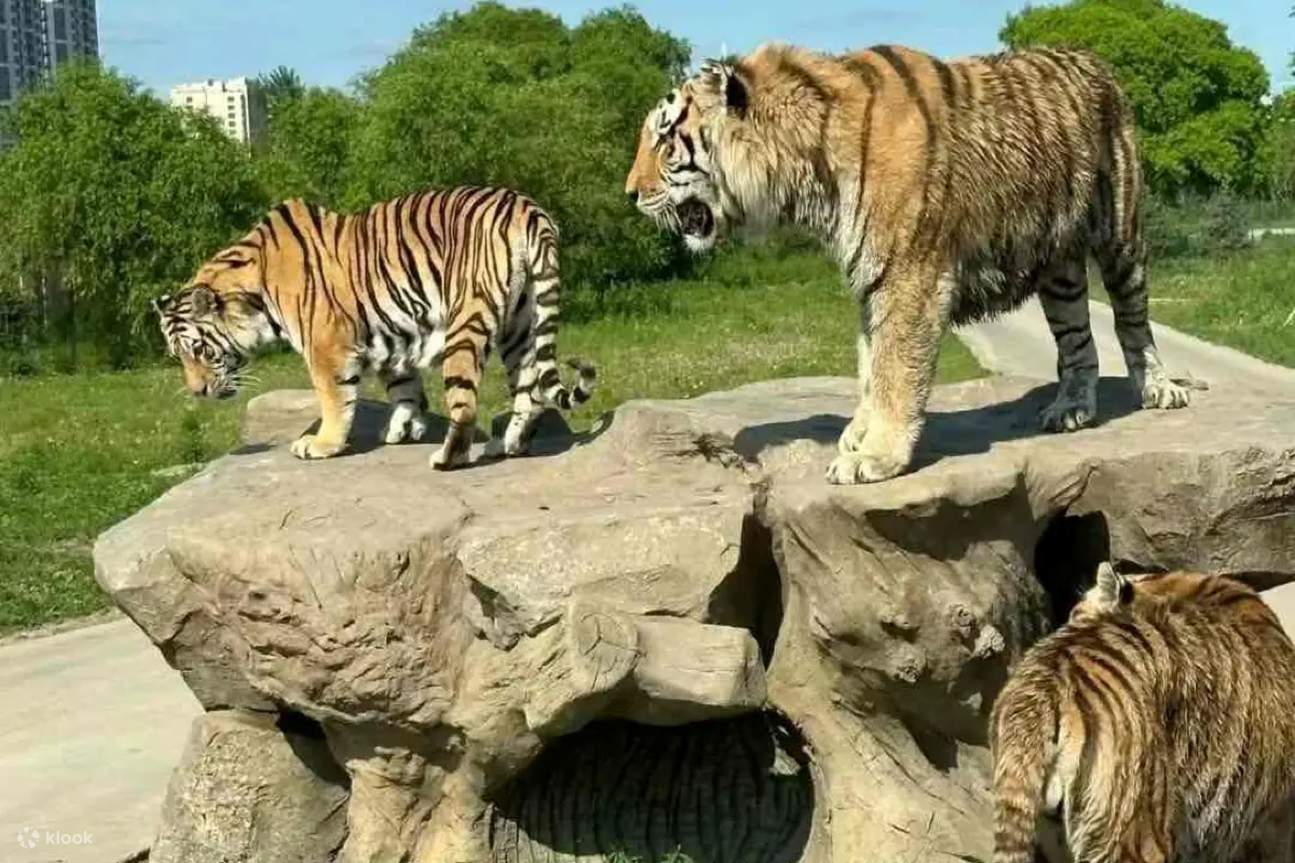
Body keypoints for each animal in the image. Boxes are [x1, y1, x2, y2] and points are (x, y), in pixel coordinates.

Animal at [154, 186, 595, 469]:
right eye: (178, 357)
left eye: (200, 351)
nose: (197, 392)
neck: (256, 288)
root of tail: (527, 208)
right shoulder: (393, 336)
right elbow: (404, 388)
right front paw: (402, 428)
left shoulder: (326, 345)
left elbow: (334, 399)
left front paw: (323, 444)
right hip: (523, 324)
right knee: (530, 393)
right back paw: (506, 446)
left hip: (467, 322)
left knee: (466, 406)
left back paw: (448, 459)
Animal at [625, 43, 1191, 485]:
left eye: (664, 139)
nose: (630, 193)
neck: (805, 171)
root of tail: (1094, 59)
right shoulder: (870, 275)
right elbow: (869, 365)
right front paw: (859, 434)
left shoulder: (908, 275)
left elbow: (895, 369)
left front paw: (876, 456)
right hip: (1059, 268)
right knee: (1077, 339)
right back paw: (1071, 408)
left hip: (1120, 233)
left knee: (1132, 319)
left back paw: (1158, 388)